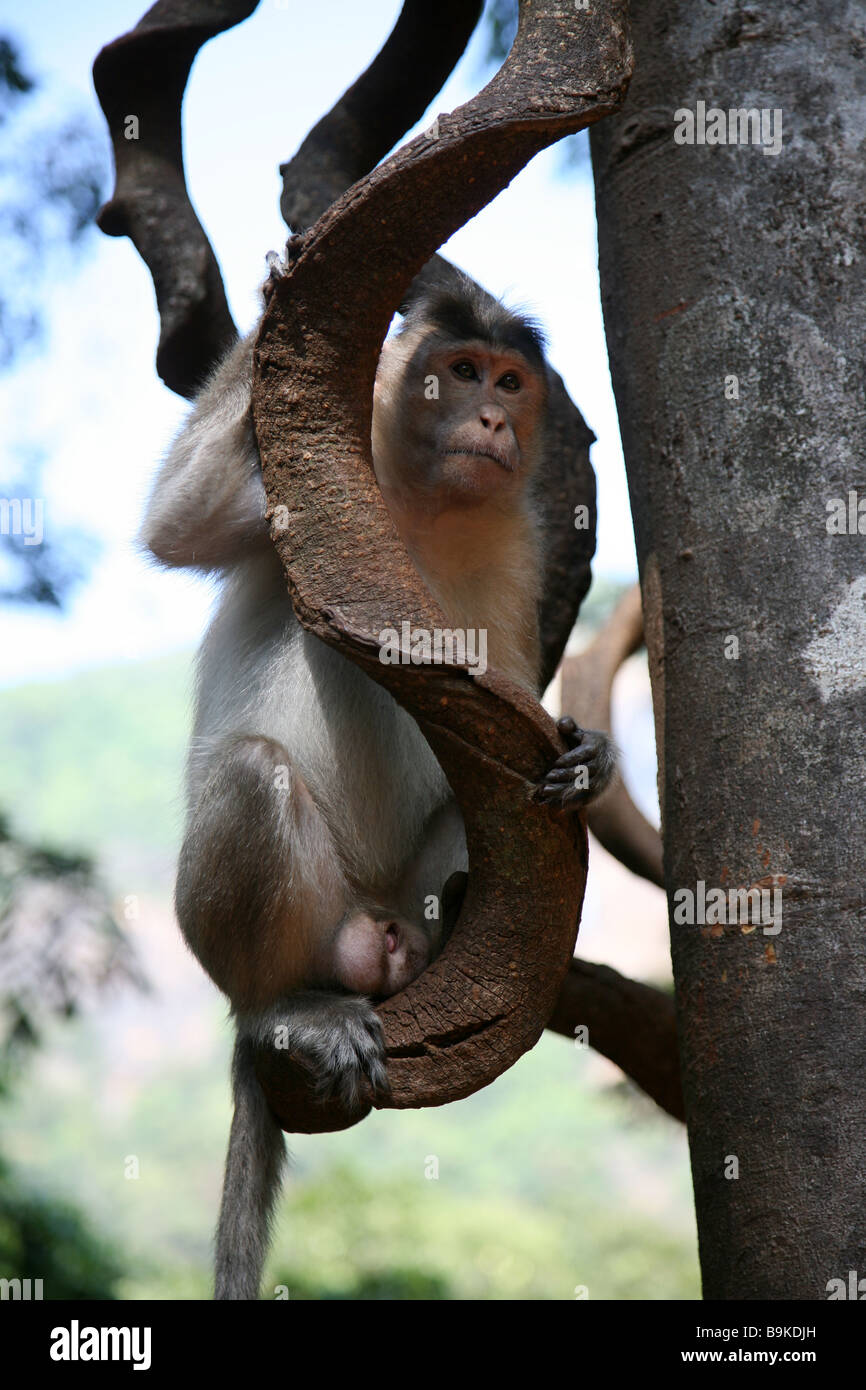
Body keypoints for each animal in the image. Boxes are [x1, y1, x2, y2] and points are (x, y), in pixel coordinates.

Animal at [139, 272, 616, 1300]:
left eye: (511, 381)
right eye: (461, 371)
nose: (494, 417)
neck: (426, 507)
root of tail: (380, 931)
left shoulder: (520, 550)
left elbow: (512, 689)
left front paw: (589, 754)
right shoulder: (285, 510)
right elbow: (182, 523)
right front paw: (278, 281)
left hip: (413, 905)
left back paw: (463, 904)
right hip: (297, 931)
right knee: (253, 774)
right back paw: (282, 1010)